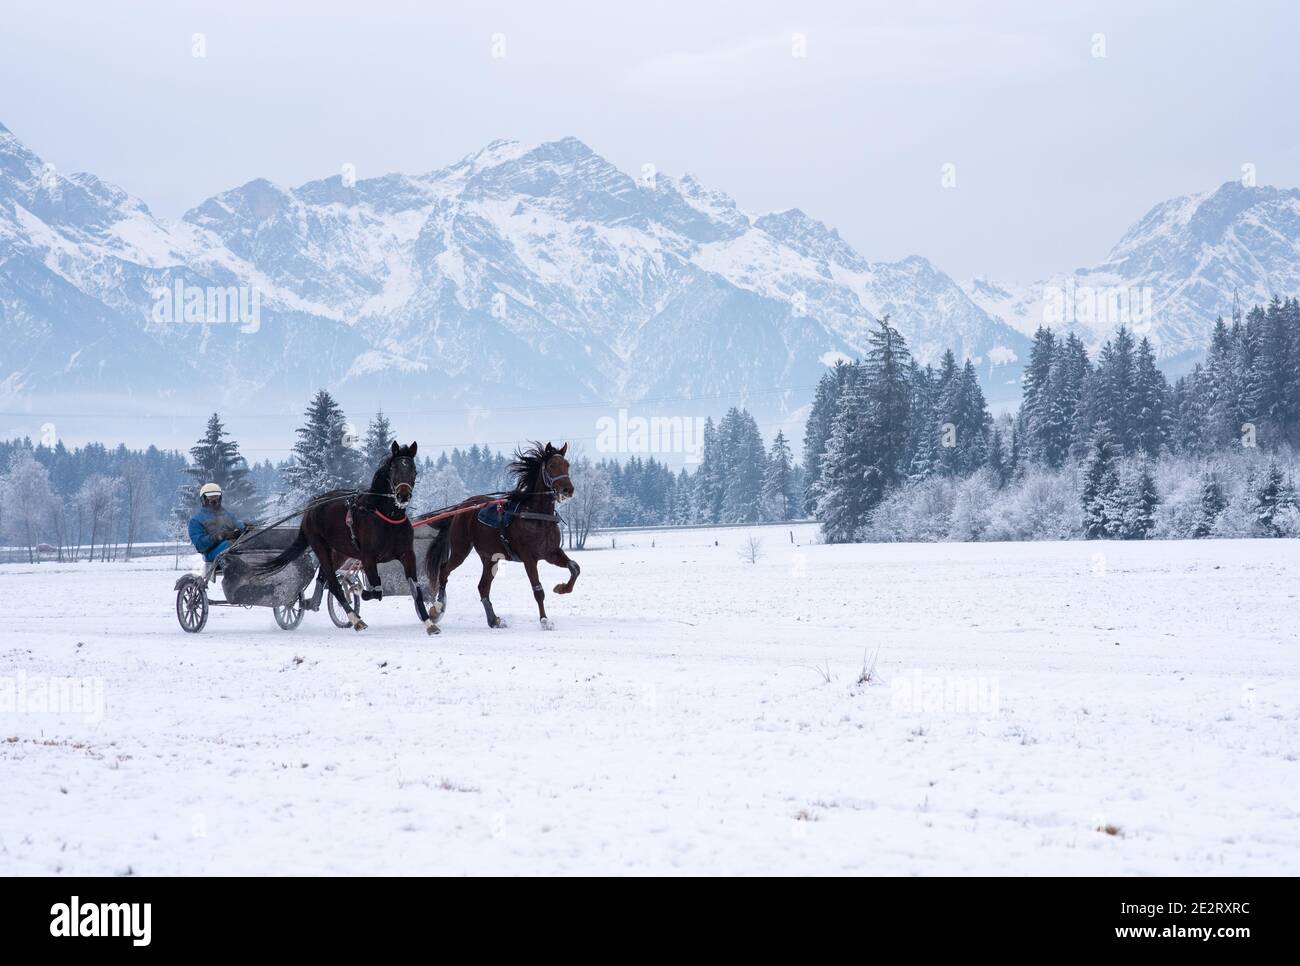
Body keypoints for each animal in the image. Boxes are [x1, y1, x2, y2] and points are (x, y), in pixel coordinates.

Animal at [255, 441, 439, 635]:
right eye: (393, 469)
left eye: (414, 470)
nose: (403, 496)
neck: (387, 518)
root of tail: (311, 507)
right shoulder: (368, 558)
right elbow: (376, 590)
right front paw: (357, 588)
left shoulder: (407, 555)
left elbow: (415, 589)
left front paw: (430, 623)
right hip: (320, 546)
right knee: (334, 584)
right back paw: (355, 619)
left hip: (339, 552)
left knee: (324, 576)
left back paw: (312, 602)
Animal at [425, 441, 579, 630]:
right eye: (551, 466)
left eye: (567, 465)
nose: (568, 489)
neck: (537, 516)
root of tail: (462, 506)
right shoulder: (529, 558)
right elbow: (538, 590)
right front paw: (544, 620)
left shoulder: (552, 553)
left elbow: (575, 567)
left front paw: (561, 588)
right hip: (460, 550)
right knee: (444, 570)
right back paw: (438, 608)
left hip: (490, 558)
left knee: (482, 587)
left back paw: (493, 620)